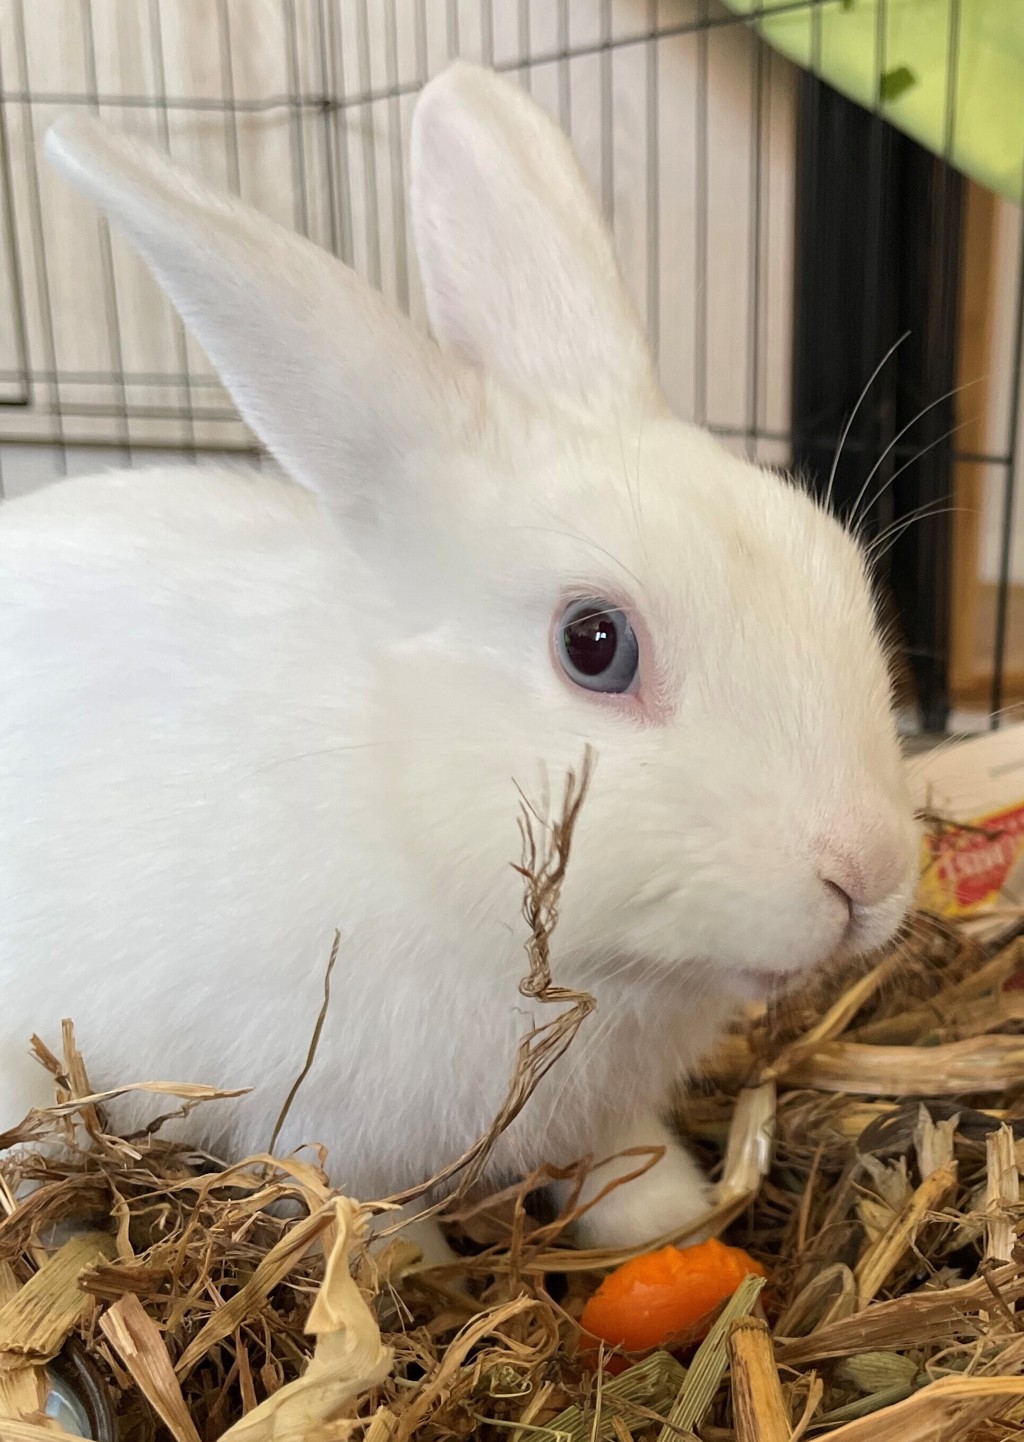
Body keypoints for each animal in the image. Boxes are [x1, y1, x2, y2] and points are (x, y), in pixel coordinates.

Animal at [0, 61, 918, 1260]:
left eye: (842, 570)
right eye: (594, 644)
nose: (869, 873)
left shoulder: (602, 1110)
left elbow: (624, 1168)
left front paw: (673, 1227)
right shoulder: (332, 1124)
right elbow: (369, 1216)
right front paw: (402, 1271)